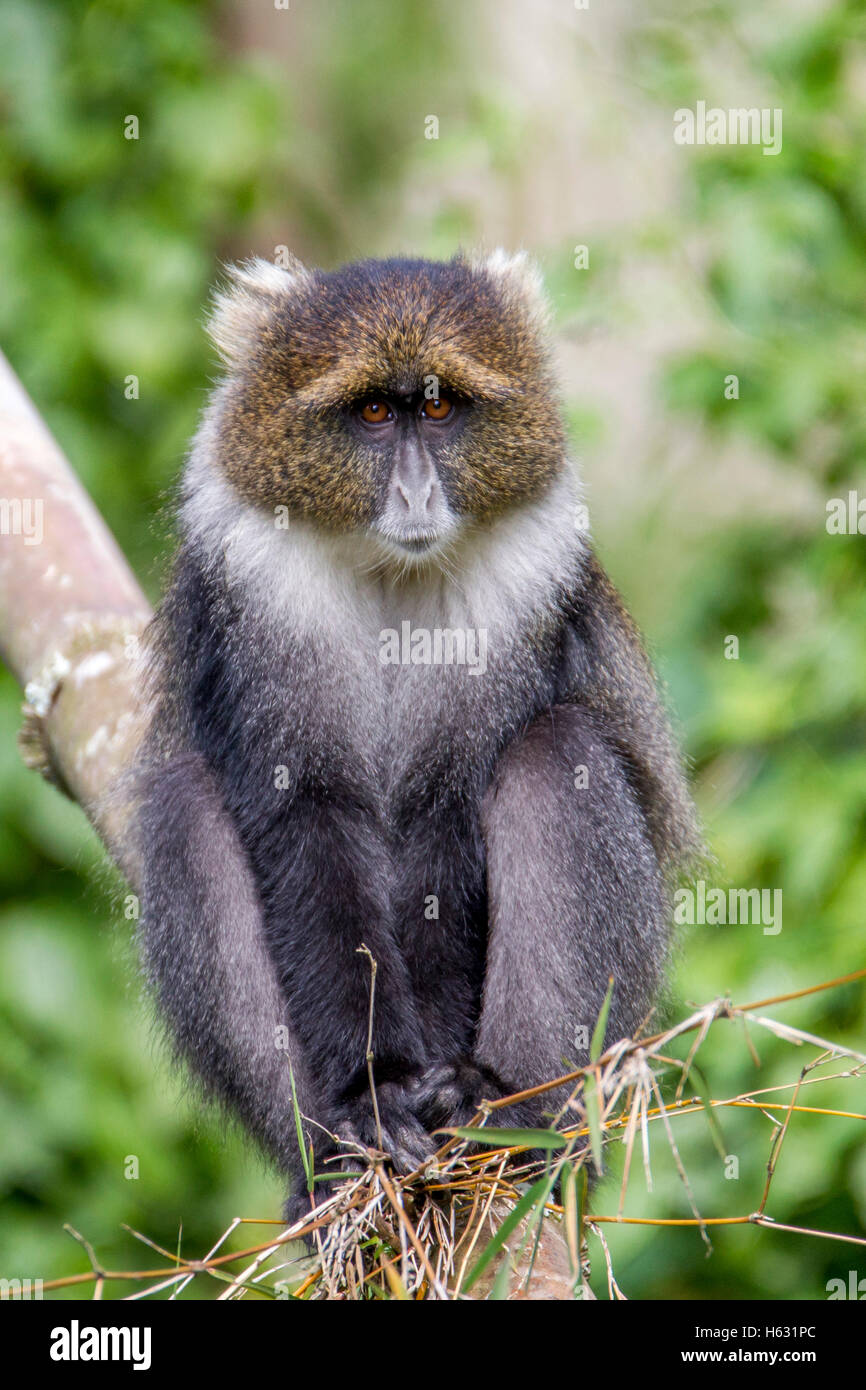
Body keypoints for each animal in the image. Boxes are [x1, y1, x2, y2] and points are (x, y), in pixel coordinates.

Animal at [133, 250, 699, 1222]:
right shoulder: (255, 586)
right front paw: (380, 1091)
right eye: (371, 413)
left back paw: (509, 1118)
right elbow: (307, 819)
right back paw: (329, 1162)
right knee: (184, 806)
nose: (414, 491)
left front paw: (445, 1090)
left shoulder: (523, 587)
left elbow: (450, 816)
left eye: (437, 410)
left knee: (560, 754)